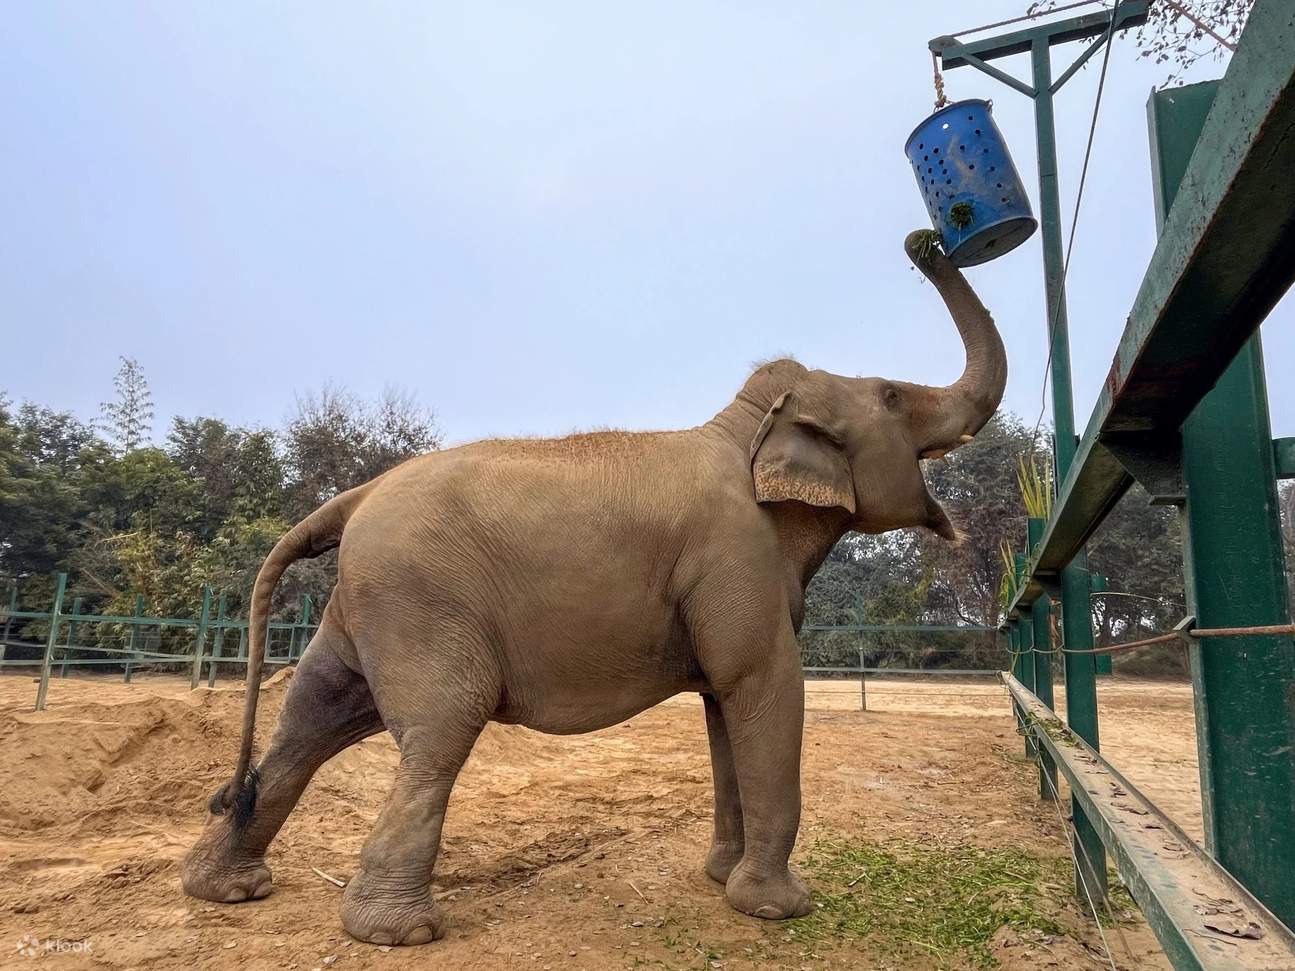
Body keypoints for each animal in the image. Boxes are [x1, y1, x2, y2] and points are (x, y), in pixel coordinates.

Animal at [181, 230, 1006, 946]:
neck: (744, 429)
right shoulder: (733, 556)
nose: (924, 239)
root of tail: (356, 495)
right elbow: (760, 682)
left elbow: (723, 702)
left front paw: (719, 879)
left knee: (310, 719)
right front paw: (776, 906)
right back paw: (396, 931)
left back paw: (225, 887)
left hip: (361, 606)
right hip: (418, 599)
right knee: (436, 730)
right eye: (892, 396)